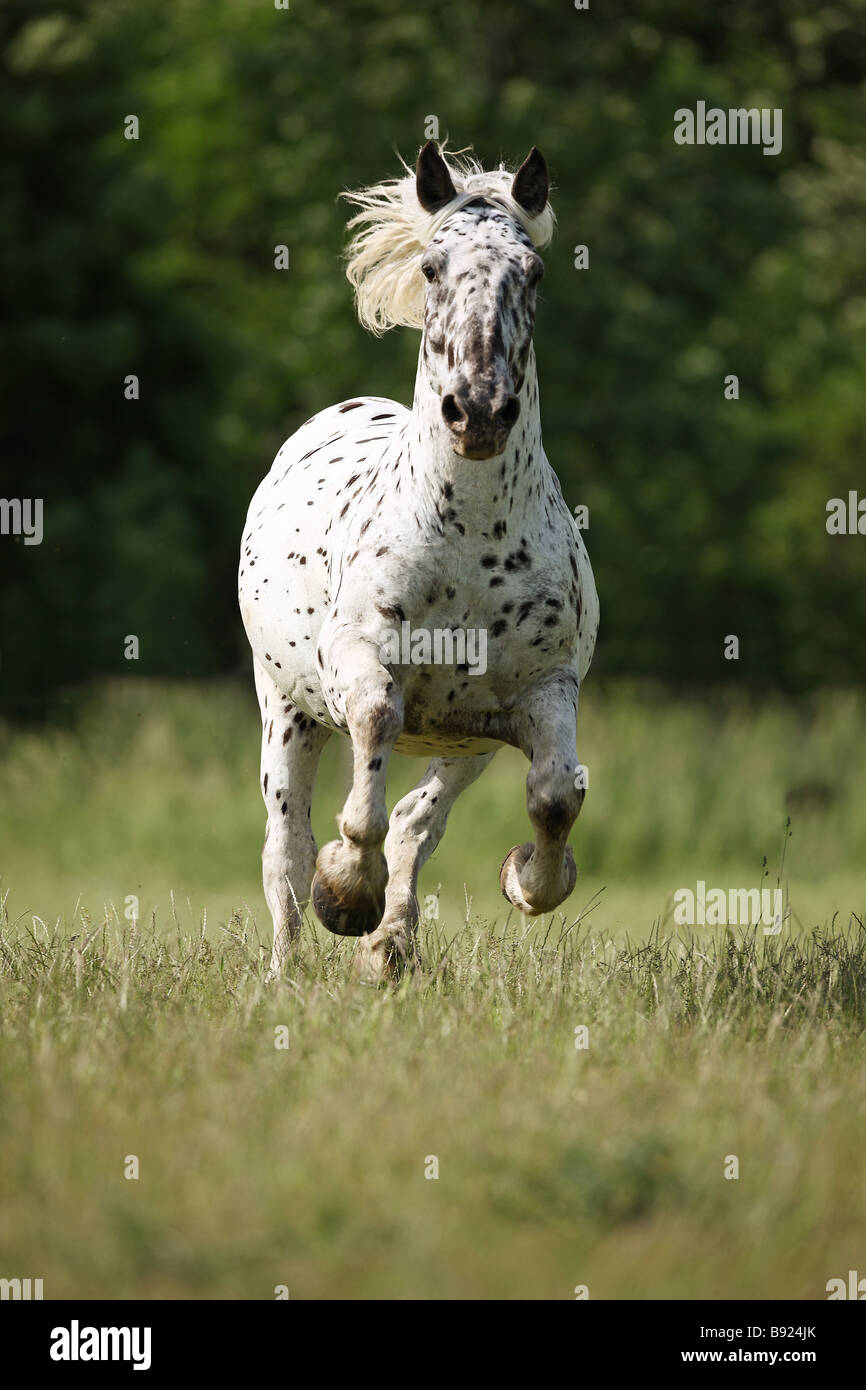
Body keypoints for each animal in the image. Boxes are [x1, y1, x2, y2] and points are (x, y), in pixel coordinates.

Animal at [238, 141, 599, 983]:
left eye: (533, 273)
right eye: (434, 266)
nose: (479, 411)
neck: (470, 540)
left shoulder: (543, 690)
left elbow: (555, 796)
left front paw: (528, 881)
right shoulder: (359, 661)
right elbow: (372, 737)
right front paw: (347, 892)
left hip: (467, 745)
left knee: (416, 822)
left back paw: (393, 946)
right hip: (287, 709)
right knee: (287, 848)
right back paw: (286, 969)